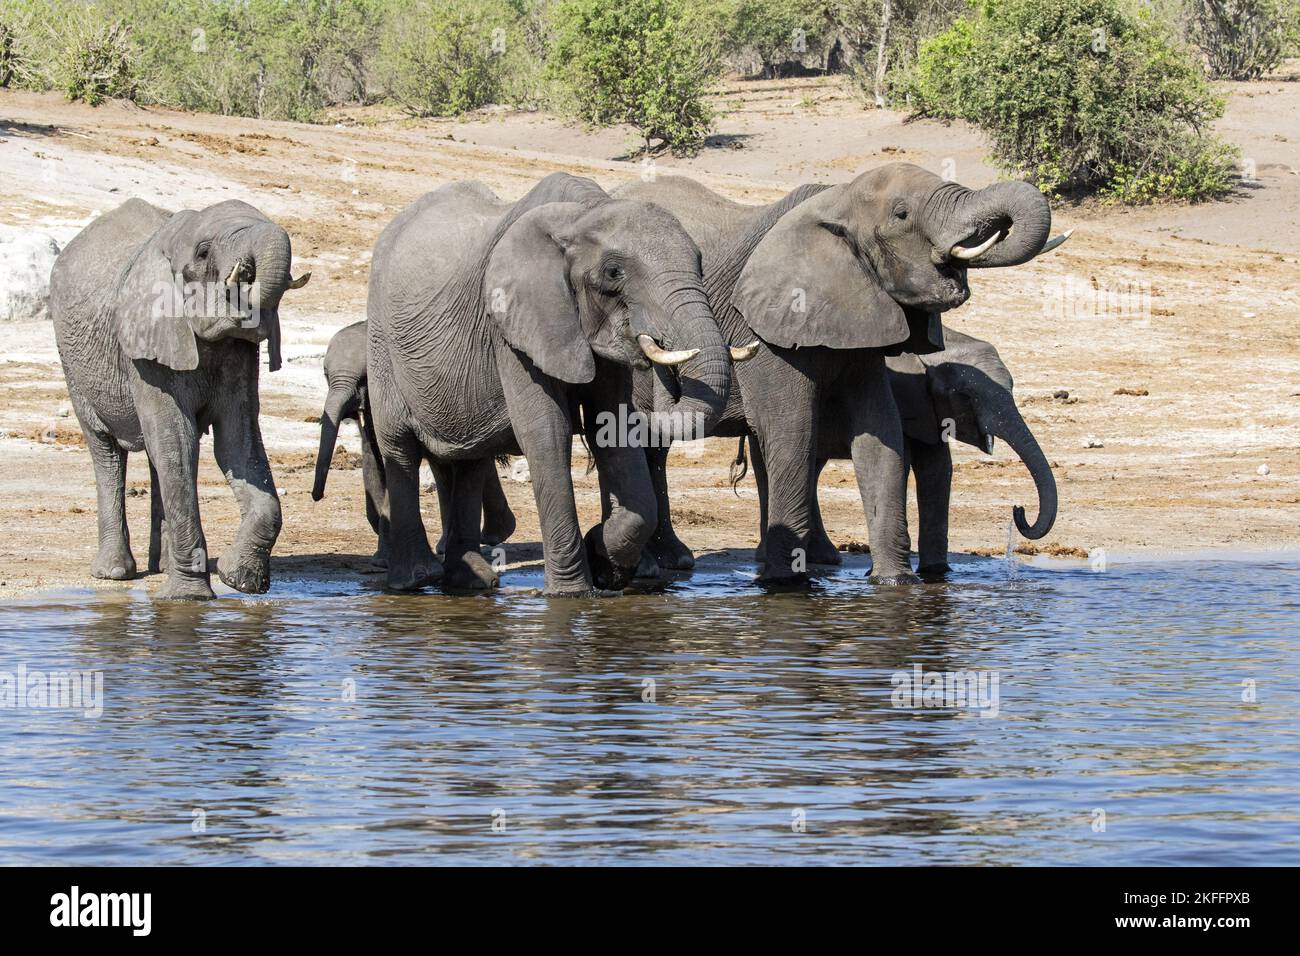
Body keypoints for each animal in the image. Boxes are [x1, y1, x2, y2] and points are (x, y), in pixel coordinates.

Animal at [50, 198, 309, 599]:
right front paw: (189, 598)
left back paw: (161, 567)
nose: (244, 271)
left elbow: (236, 443)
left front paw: (240, 579)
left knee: (159, 458)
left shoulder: (237, 357)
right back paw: (114, 573)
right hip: (74, 365)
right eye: (203, 253)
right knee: (106, 449)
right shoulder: (146, 349)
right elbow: (177, 439)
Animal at [310, 320, 515, 566]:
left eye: (363, 378)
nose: (316, 497)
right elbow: (374, 455)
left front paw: (384, 559)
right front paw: (383, 558)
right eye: (325, 374)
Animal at [365, 172, 739, 595]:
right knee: (400, 447)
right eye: (614, 273)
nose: (656, 342)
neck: (580, 217)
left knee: (470, 458)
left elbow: (611, 428)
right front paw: (572, 594)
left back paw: (473, 584)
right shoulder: (513, 323)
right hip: (382, 344)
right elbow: (547, 432)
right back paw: (412, 581)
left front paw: (602, 557)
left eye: (701, 264)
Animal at [613, 164, 1063, 584]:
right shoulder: (766, 327)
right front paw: (786, 585)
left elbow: (880, 433)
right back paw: (663, 565)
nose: (1018, 509)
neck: (839, 200)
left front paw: (893, 581)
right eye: (901, 214)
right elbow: (791, 427)